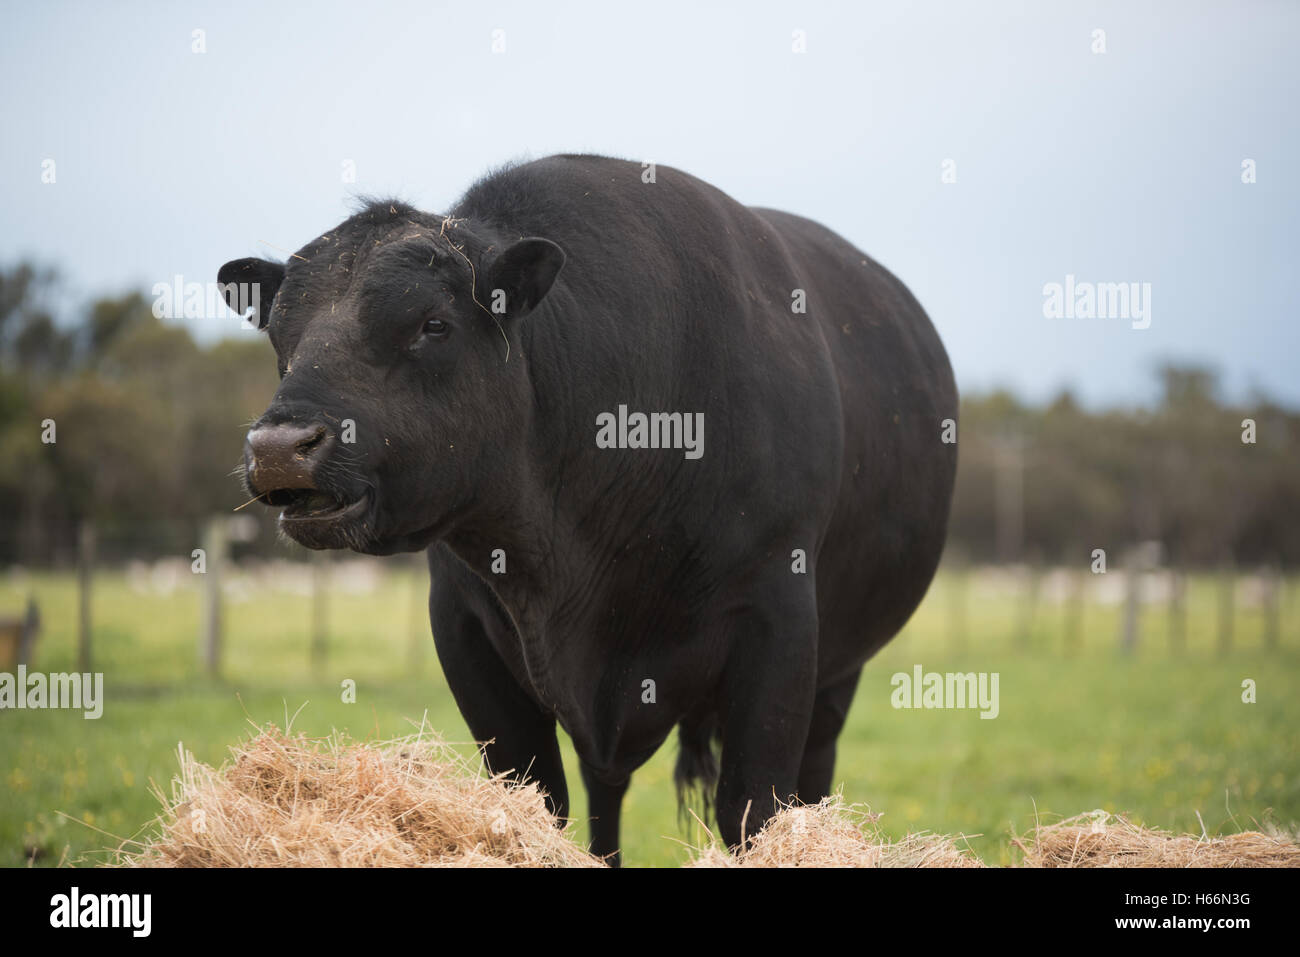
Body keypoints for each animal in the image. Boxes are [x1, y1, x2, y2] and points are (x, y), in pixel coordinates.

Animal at [220, 154, 957, 865]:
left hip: (838, 674)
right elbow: (538, 801)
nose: (279, 447)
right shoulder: (463, 627)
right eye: (280, 335)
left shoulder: (780, 619)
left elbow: (753, 811)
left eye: (433, 324)